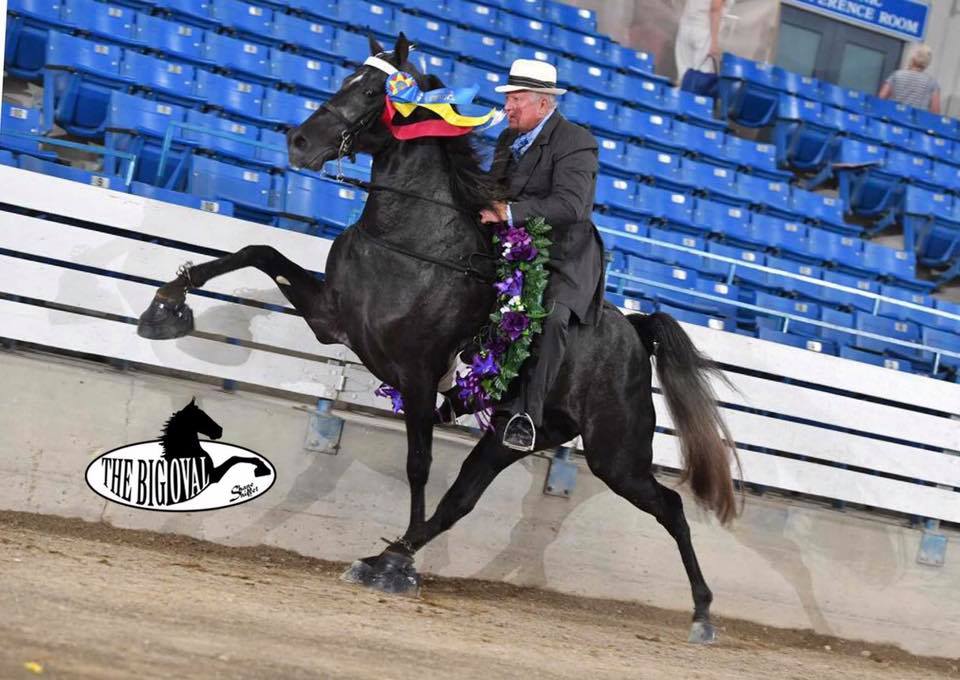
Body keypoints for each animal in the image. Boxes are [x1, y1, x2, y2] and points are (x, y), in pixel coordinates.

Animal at [136, 33, 739, 643]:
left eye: (374, 91)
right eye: (349, 77)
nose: (299, 142)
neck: (411, 240)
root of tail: (635, 333)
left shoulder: (420, 375)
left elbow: (419, 463)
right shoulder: (332, 322)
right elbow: (257, 252)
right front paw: (166, 307)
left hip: (615, 454)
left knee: (669, 506)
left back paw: (703, 614)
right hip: (513, 439)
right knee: (462, 499)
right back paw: (391, 554)